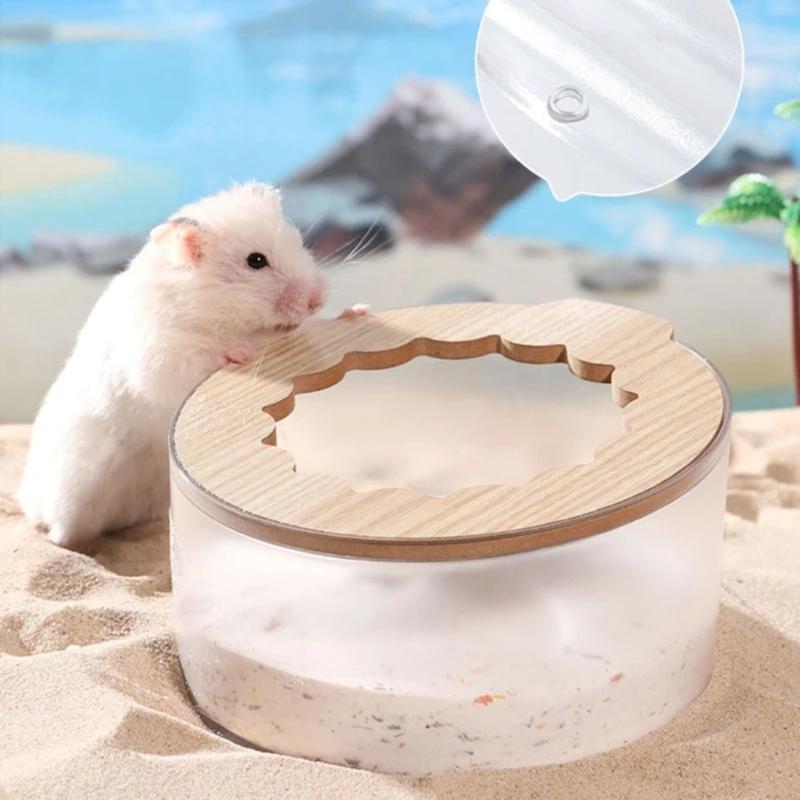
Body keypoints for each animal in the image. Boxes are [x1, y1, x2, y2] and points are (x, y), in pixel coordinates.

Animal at [18, 182, 326, 550]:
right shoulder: (161, 353)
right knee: (59, 530)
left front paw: (355, 311)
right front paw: (240, 352)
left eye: (299, 241)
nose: (318, 299)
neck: (207, 303)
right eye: (256, 261)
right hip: (75, 487)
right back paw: (60, 541)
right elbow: (201, 356)